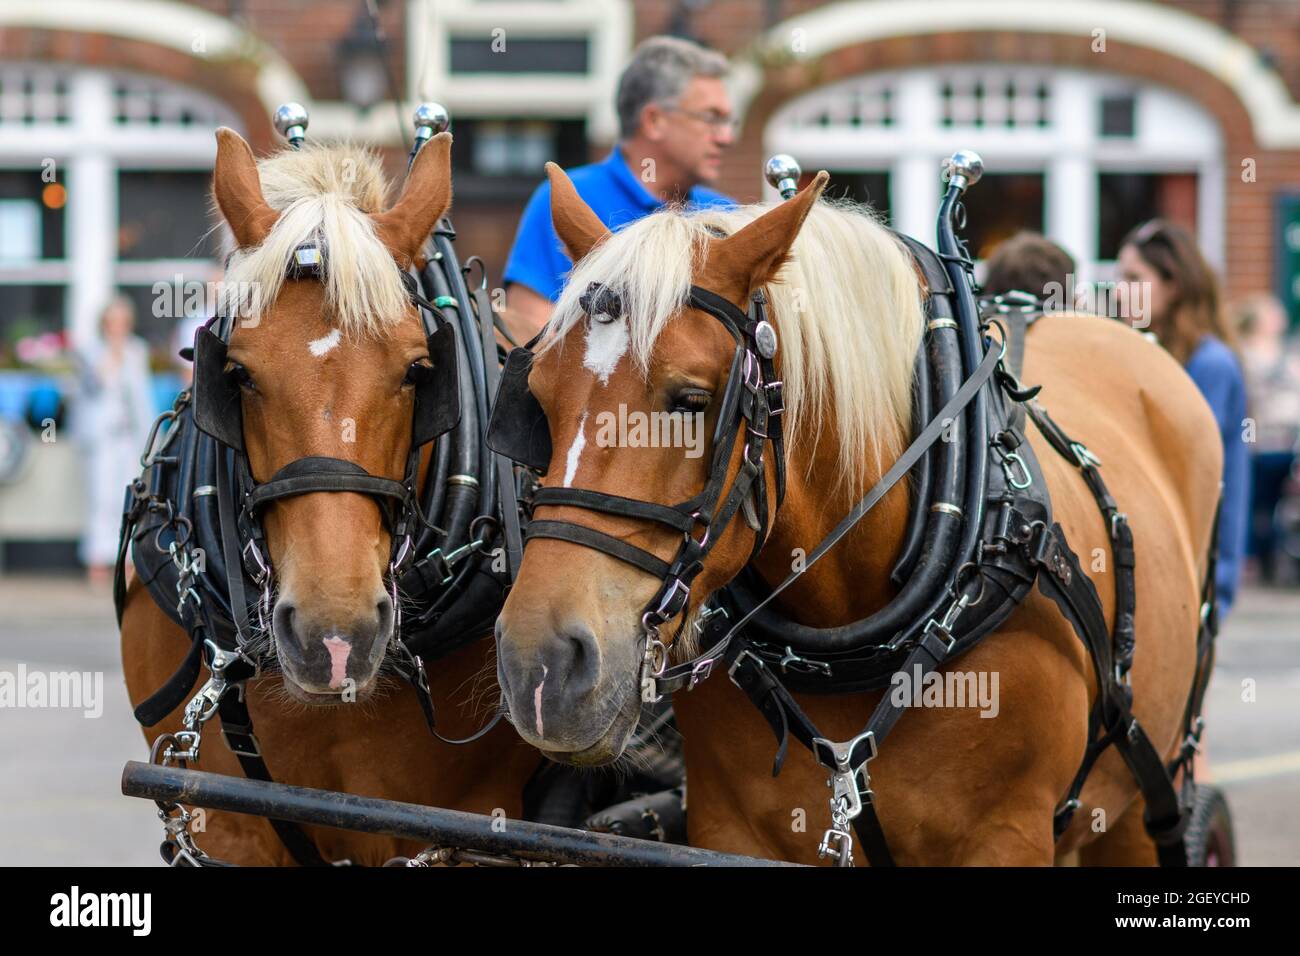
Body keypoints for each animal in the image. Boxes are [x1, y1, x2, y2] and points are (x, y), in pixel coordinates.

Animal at [491, 163, 1222, 865]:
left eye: (691, 400)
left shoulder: (1007, 837)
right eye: (537, 397)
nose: (541, 666)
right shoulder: (732, 831)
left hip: (1134, 806)